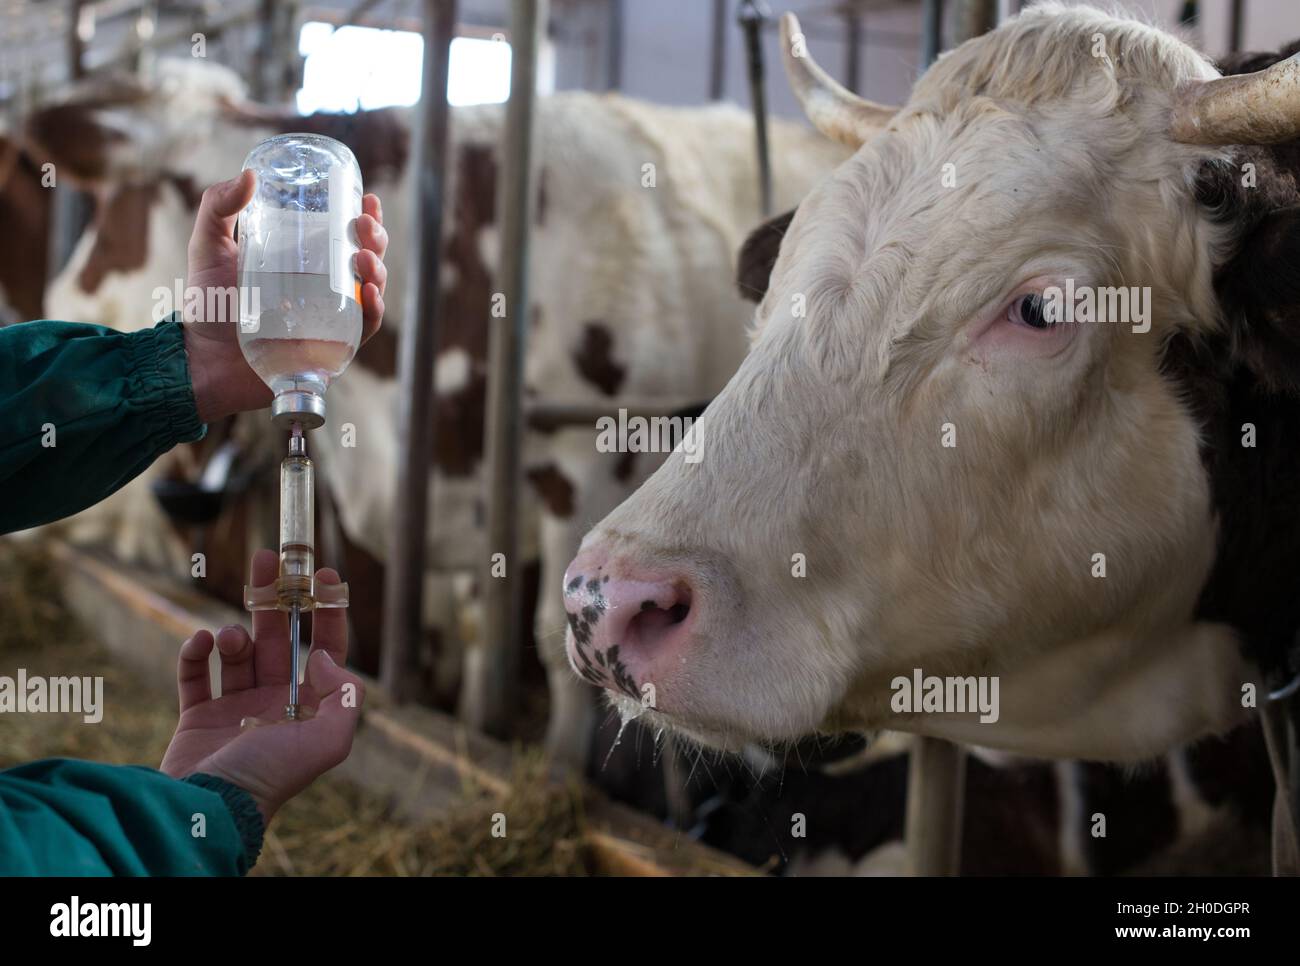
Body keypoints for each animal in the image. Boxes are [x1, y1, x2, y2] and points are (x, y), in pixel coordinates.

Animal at [22, 57, 848, 763]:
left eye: (107, 220)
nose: (53, 298)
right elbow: (474, 625)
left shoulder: (591, 459)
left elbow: (556, 643)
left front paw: (557, 771)